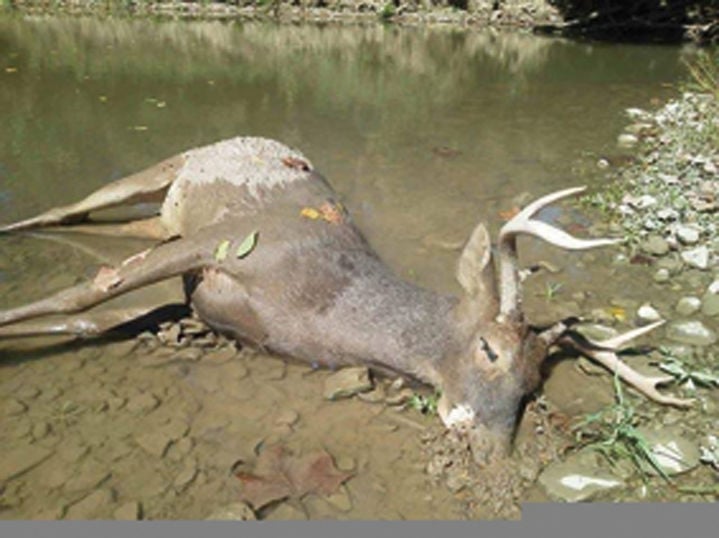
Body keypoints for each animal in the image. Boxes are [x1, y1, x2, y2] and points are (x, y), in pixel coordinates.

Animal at [0, 136, 692, 463]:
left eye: (534, 386)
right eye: (489, 350)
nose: (492, 449)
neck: (314, 311)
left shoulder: (197, 294)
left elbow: (96, 319)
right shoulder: (225, 241)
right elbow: (93, 290)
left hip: (161, 221)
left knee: (108, 228)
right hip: (172, 172)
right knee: (68, 209)